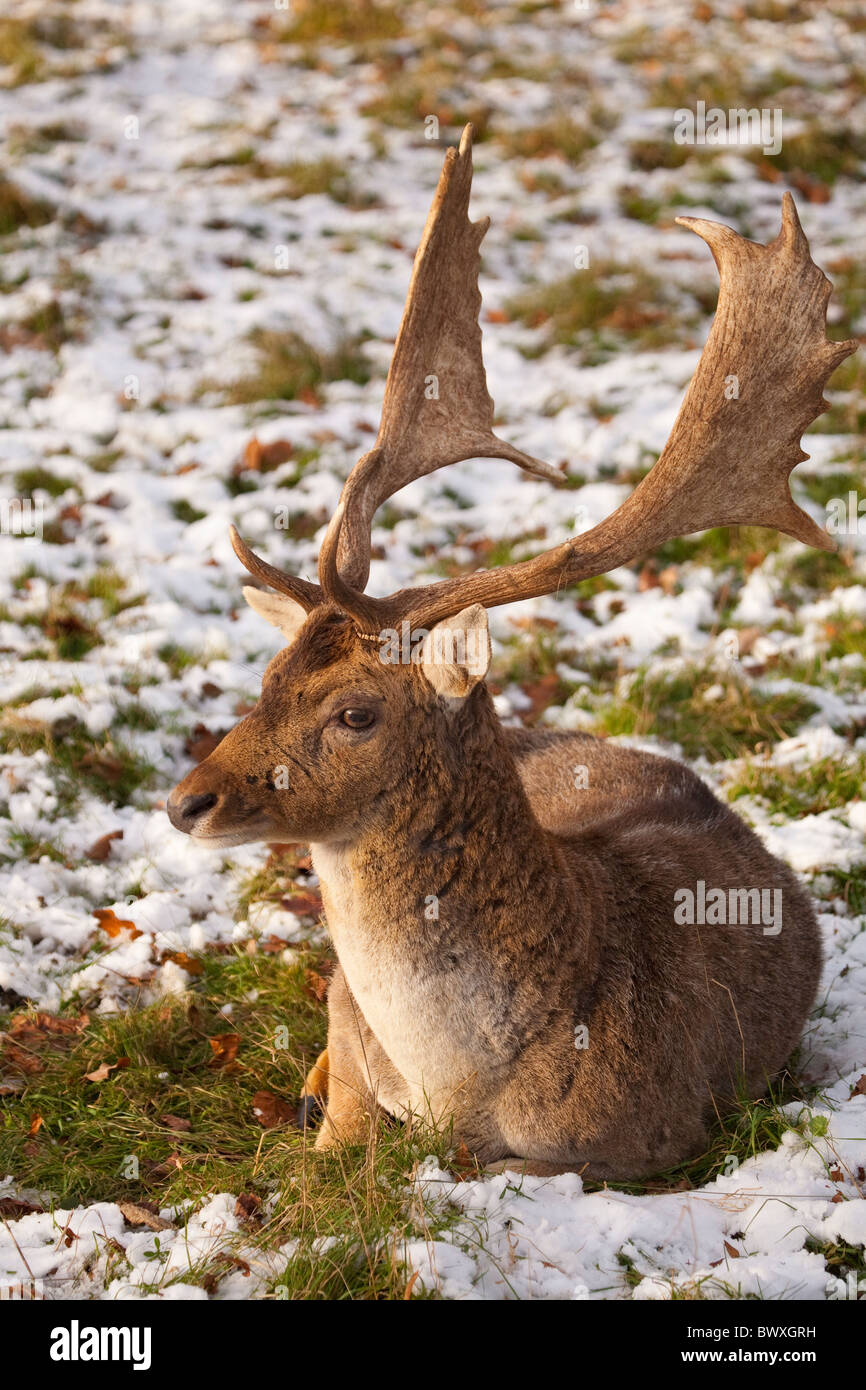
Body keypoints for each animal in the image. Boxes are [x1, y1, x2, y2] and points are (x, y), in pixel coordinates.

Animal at [167, 128, 857, 1179]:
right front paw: (319, 1106)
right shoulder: (355, 1036)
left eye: (355, 711)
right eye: (268, 679)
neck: (458, 1091)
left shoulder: (638, 1144)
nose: (186, 801)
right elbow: (338, 1107)